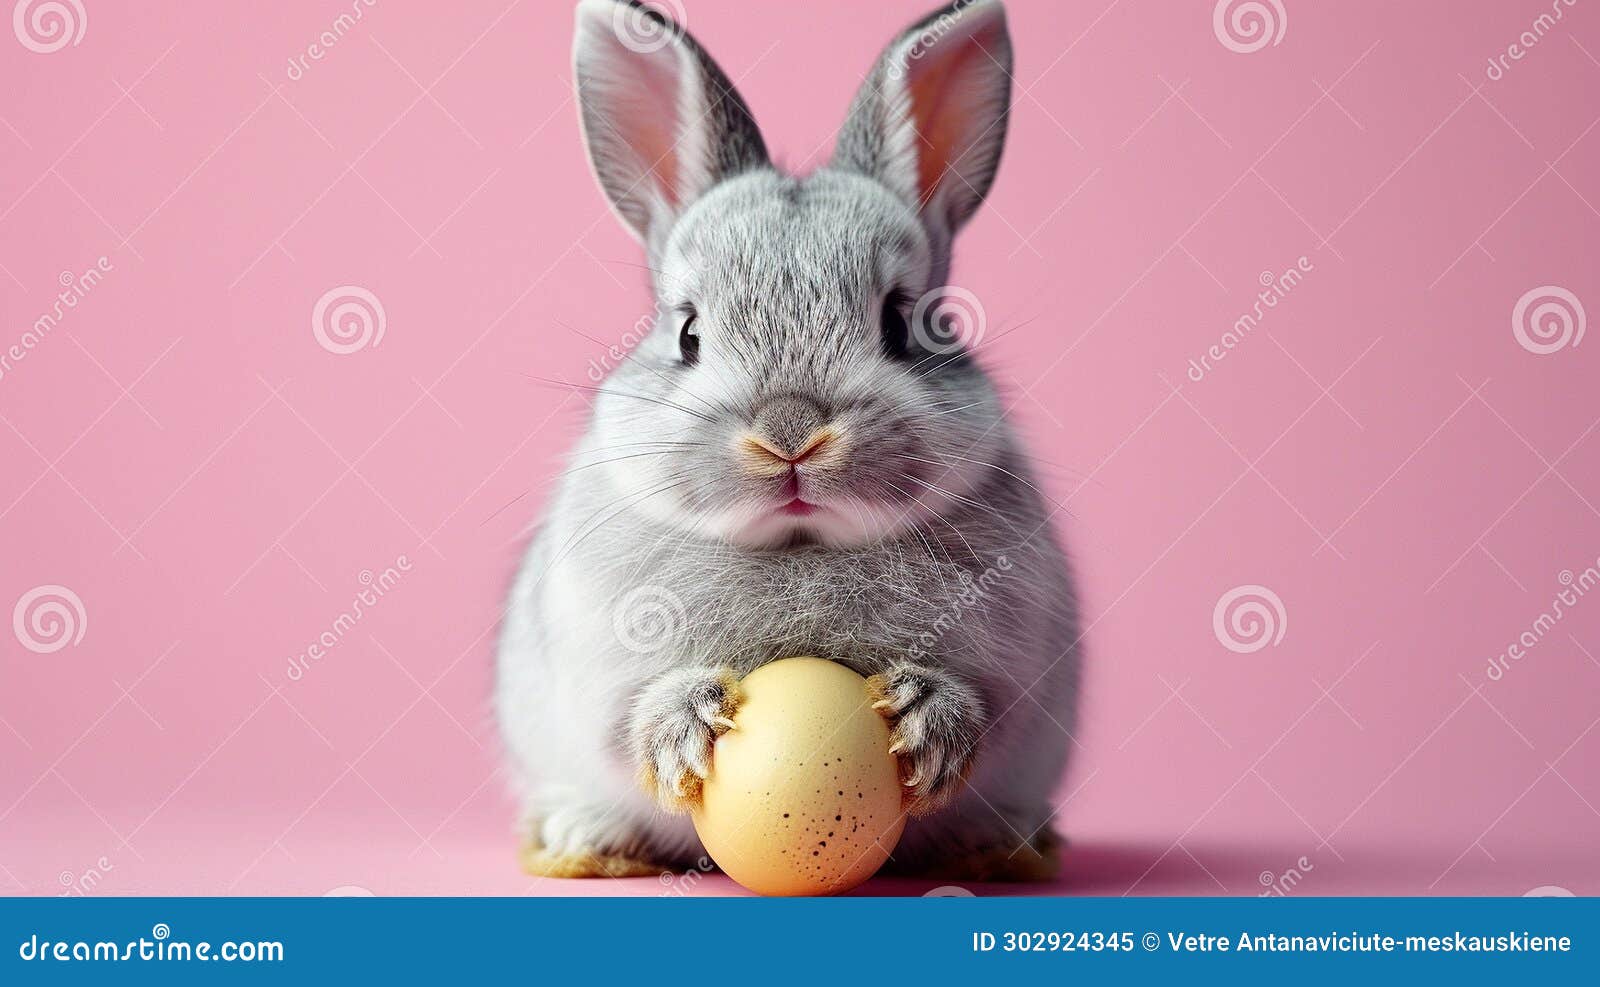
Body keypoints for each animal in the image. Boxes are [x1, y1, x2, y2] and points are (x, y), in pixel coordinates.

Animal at [496, 0, 1081, 882]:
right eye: (688, 332)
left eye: (903, 322)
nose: (790, 433)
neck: (801, 545)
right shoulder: (596, 670)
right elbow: (626, 720)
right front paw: (684, 727)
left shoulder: (1019, 672)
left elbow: (987, 713)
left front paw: (926, 717)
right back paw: (583, 842)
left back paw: (1003, 845)